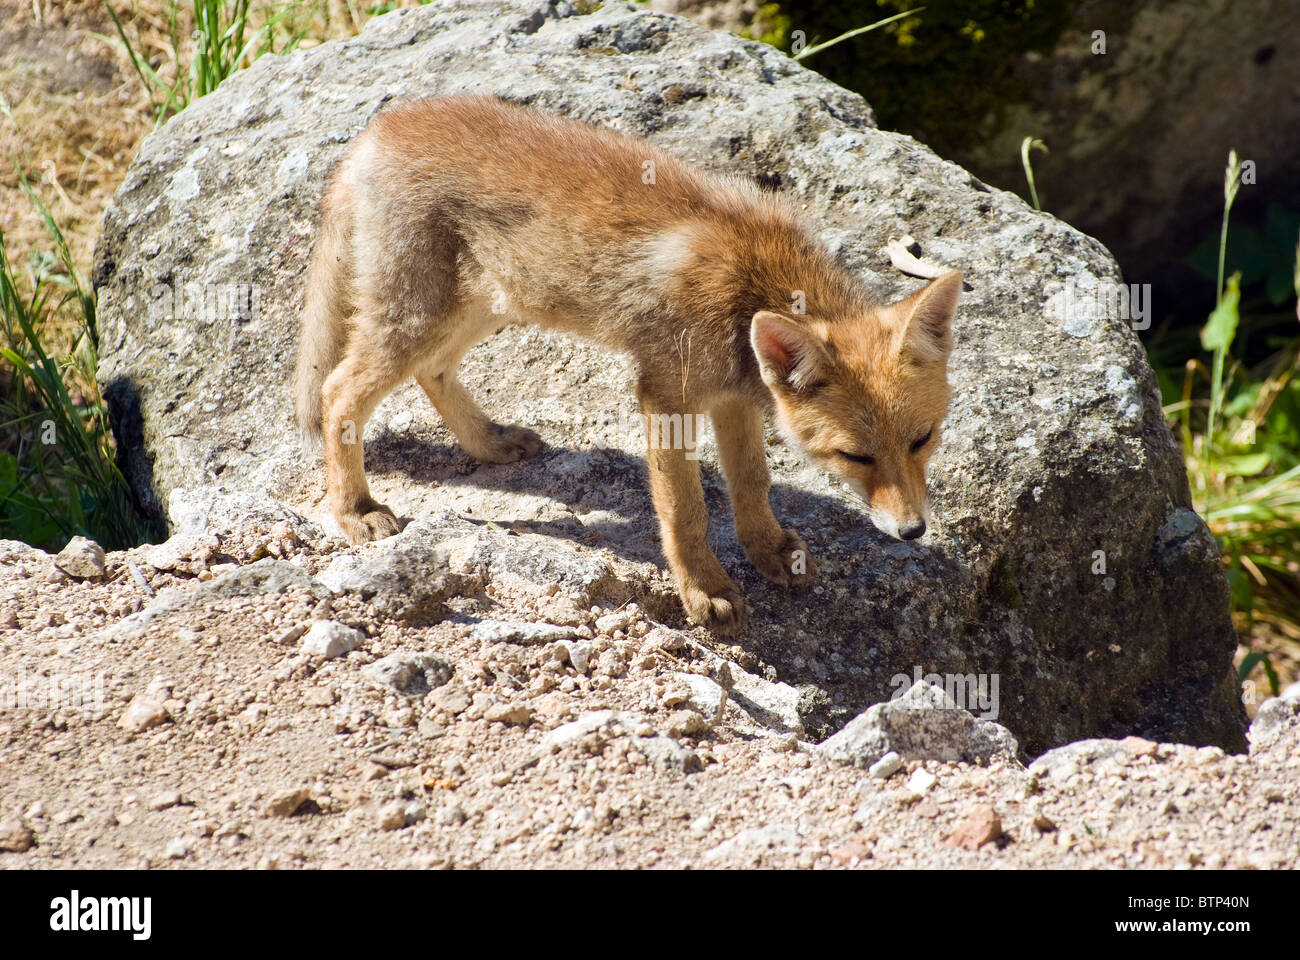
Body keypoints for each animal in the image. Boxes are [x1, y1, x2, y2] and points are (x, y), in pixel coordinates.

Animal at [294, 95, 961, 635]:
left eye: (922, 439)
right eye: (855, 456)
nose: (913, 532)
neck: (748, 282)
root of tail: (379, 127)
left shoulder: (734, 396)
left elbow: (751, 483)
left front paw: (770, 550)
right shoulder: (665, 395)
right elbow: (686, 511)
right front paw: (705, 590)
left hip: (487, 305)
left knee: (432, 371)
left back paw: (488, 442)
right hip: (417, 318)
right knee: (338, 392)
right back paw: (355, 510)